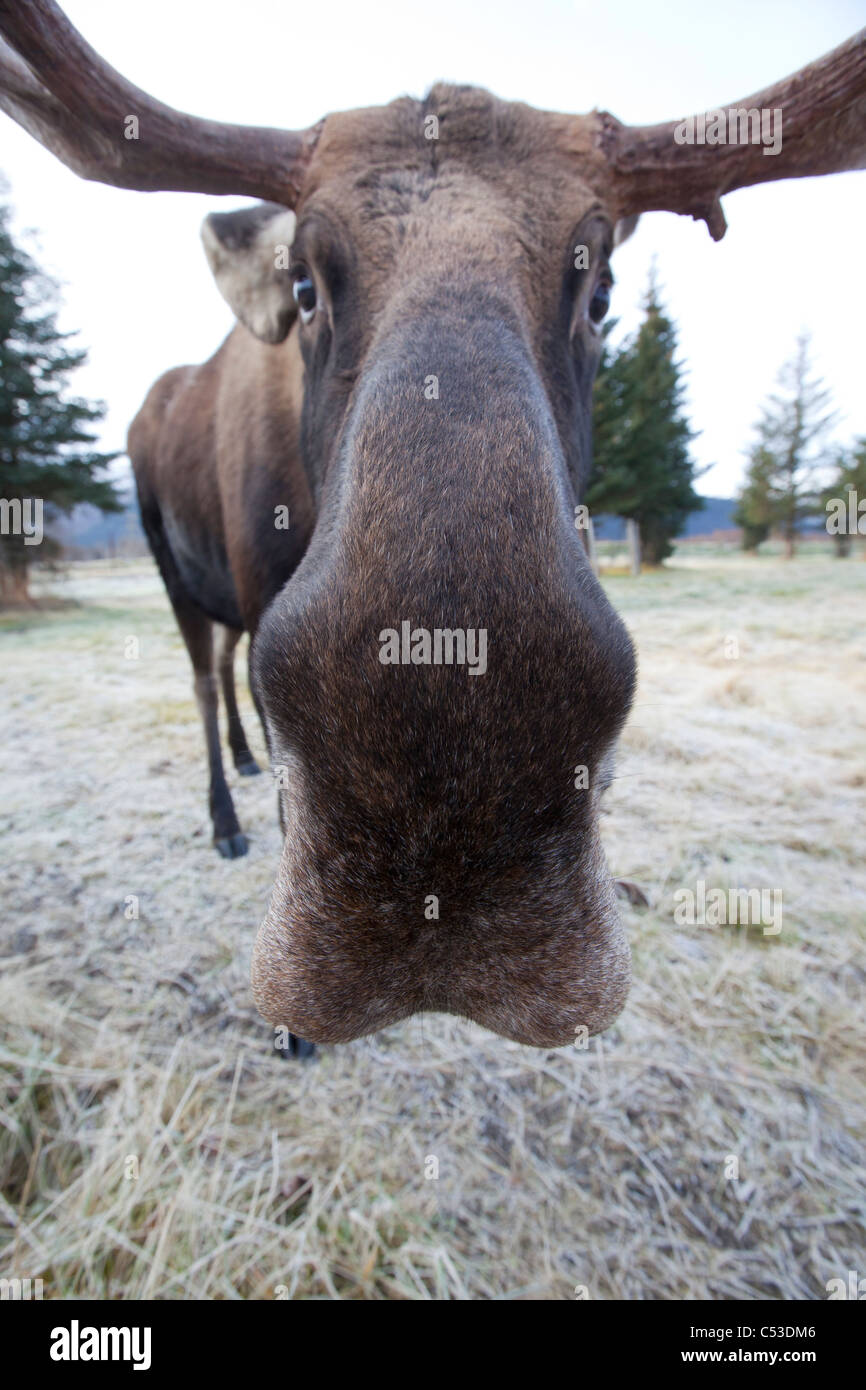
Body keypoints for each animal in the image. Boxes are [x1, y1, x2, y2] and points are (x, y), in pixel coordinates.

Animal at [1, 1, 863, 1056]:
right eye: (304, 286)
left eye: (603, 292)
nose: (451, 773)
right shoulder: (249, 572)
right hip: (174, 568)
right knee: (205, 680)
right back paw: (223, 813)